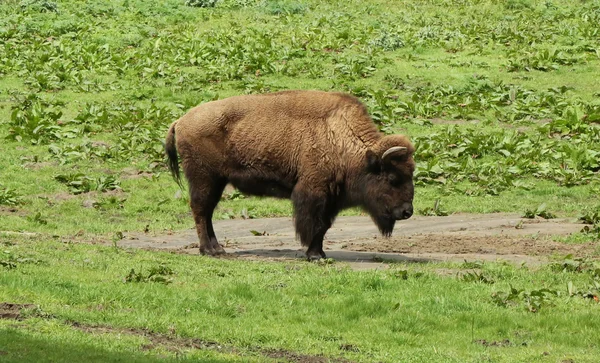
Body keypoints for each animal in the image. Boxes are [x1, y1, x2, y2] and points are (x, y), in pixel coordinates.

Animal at [166, 91, 414, 262]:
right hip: (204, 179)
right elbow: (315, 224)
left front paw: (320, 254)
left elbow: (324, 226)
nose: (407, 212)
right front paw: (314, 255)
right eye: (392, 178)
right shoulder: (313, 192)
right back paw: (209, 250)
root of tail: (181, 121)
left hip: (216, 181)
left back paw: (218, 249)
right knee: (201, 211)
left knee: (207, 213)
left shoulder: (331, 199)